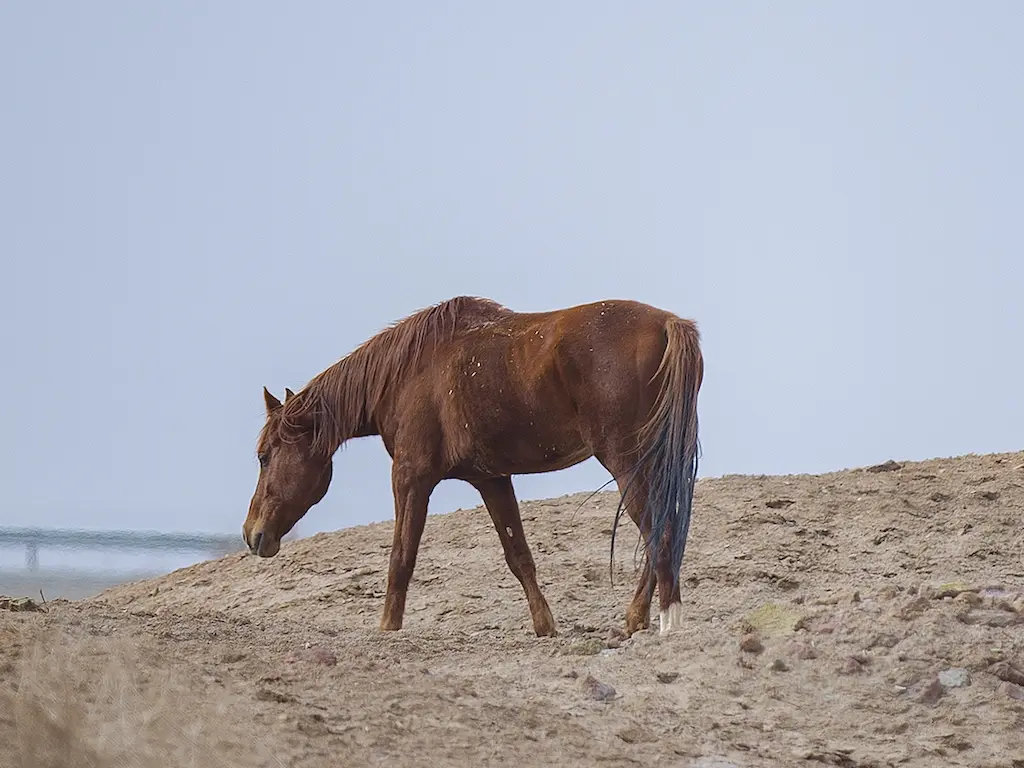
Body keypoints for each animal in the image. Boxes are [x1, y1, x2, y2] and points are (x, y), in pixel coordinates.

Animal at [243, 296, 703, 637]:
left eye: (265, 456)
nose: (252, 535)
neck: (405, 373)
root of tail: (669, 324)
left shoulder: (411, 478)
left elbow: (401, 557)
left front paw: (388, 628)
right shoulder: (491, 479)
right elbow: (518, 555)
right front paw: (545, 627)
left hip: (627, 463)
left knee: (658, 532)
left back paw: (661, 620)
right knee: (662, 531)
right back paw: (638, 619)